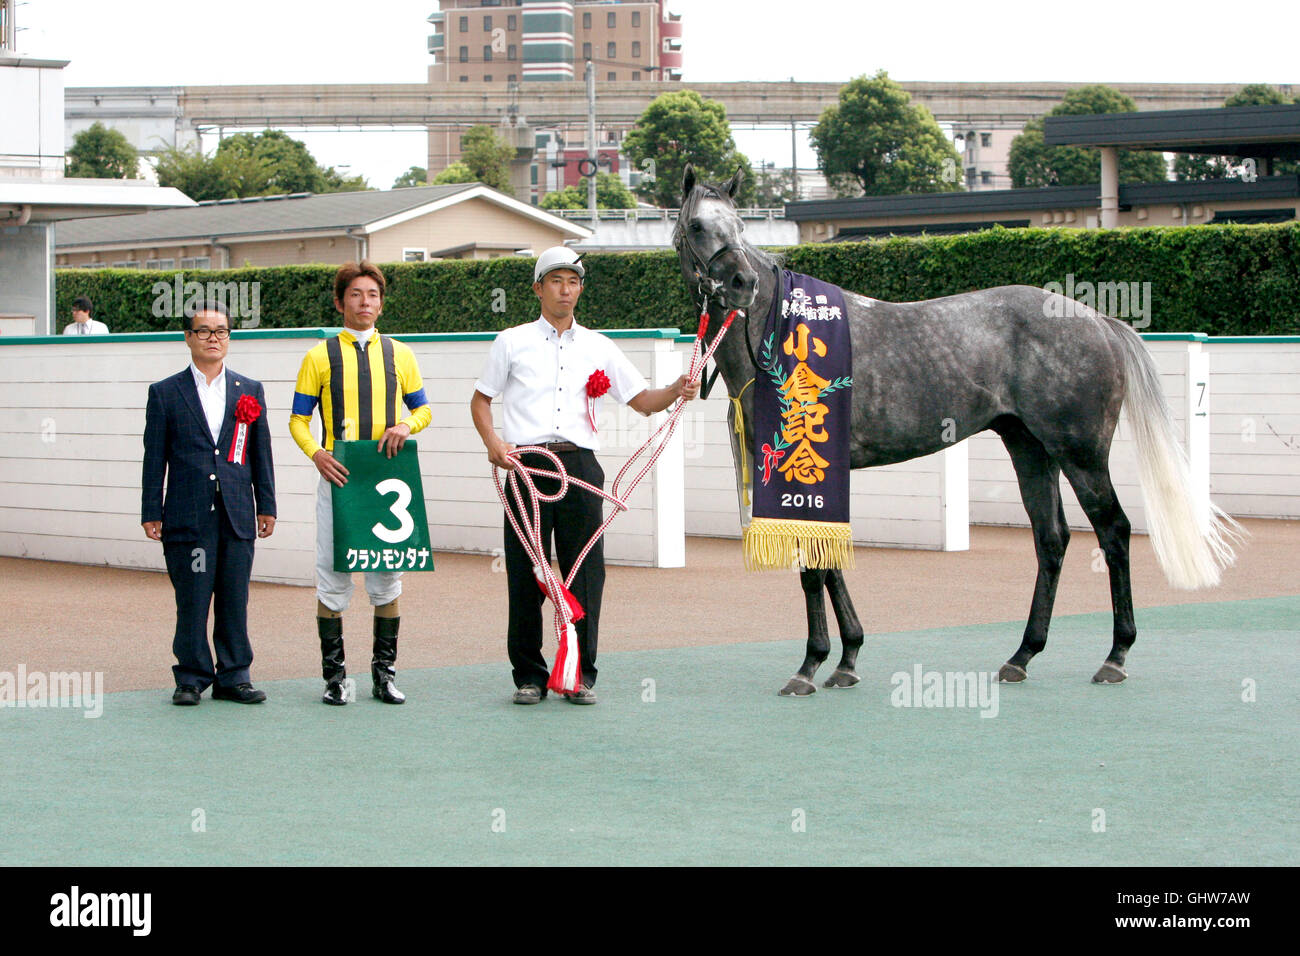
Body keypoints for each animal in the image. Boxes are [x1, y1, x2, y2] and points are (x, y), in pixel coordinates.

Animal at [673, 164, 1241, 696]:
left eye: (739, 225)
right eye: (698, 225)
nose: (743, 283)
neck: (781, 331)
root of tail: (1101, 322)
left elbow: (814, 565)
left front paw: (811, 665)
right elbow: (825, 560)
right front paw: (847, 658)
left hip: (1080, 453)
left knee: (1114, 531)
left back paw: (1115, 655)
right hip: (1029, 448)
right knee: (1051, 539)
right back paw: (1022, 655)